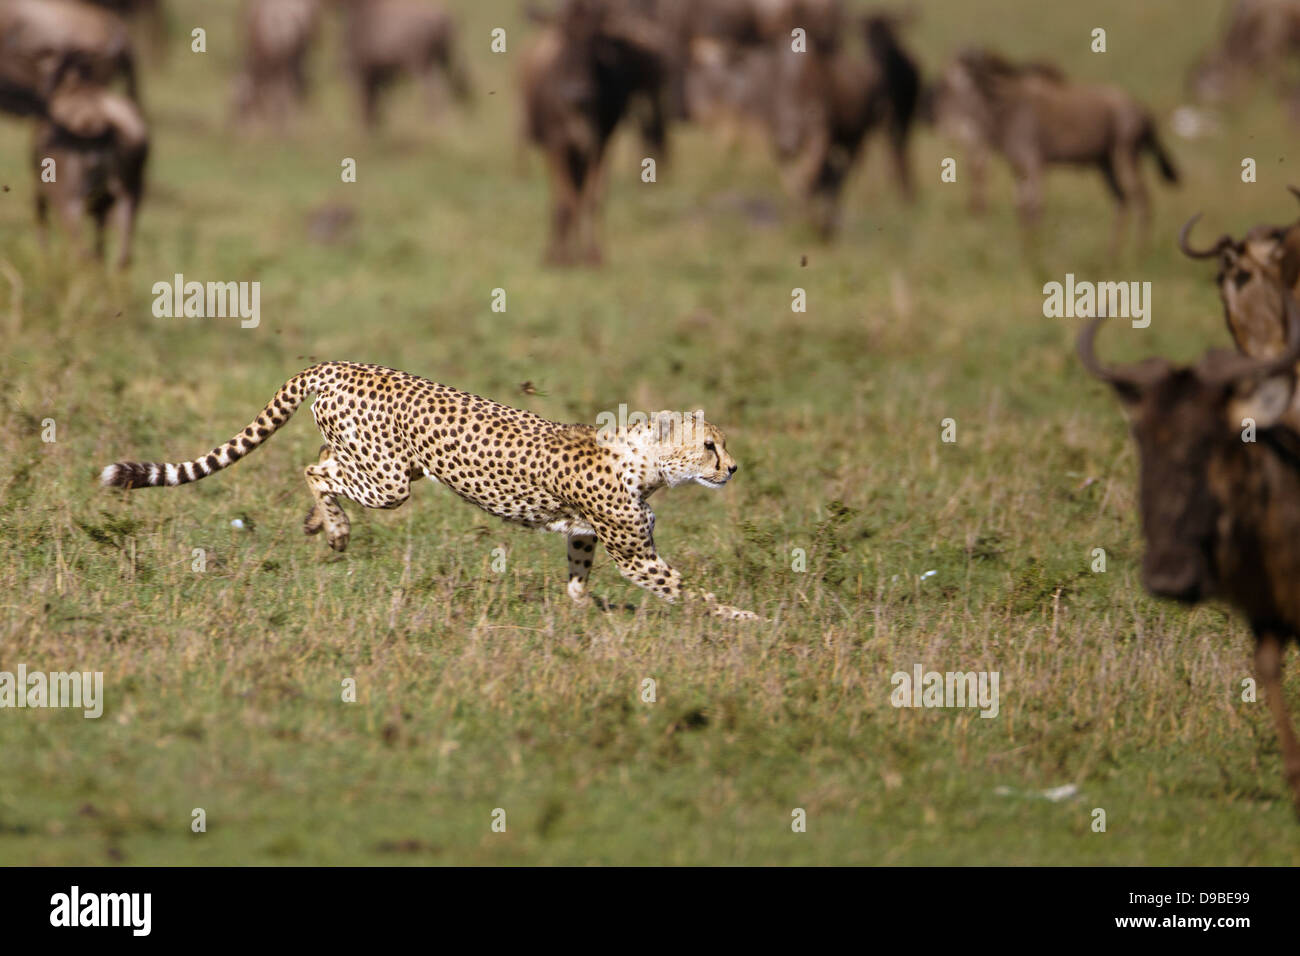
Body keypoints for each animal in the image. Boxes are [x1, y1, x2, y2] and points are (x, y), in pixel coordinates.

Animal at [99, 362, 761, 620]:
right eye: (710, 446)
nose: (732, 469)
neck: (644, 458)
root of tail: (342, 365)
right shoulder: (637, 556)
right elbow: (690, 591)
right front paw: (744, 617)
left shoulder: (584, 535)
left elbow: (578, 579)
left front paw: (590, 610)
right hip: (389, 482)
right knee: (317, 470)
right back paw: (335, 529)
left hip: (384, 466)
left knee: (323, 460)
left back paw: (317, 524)